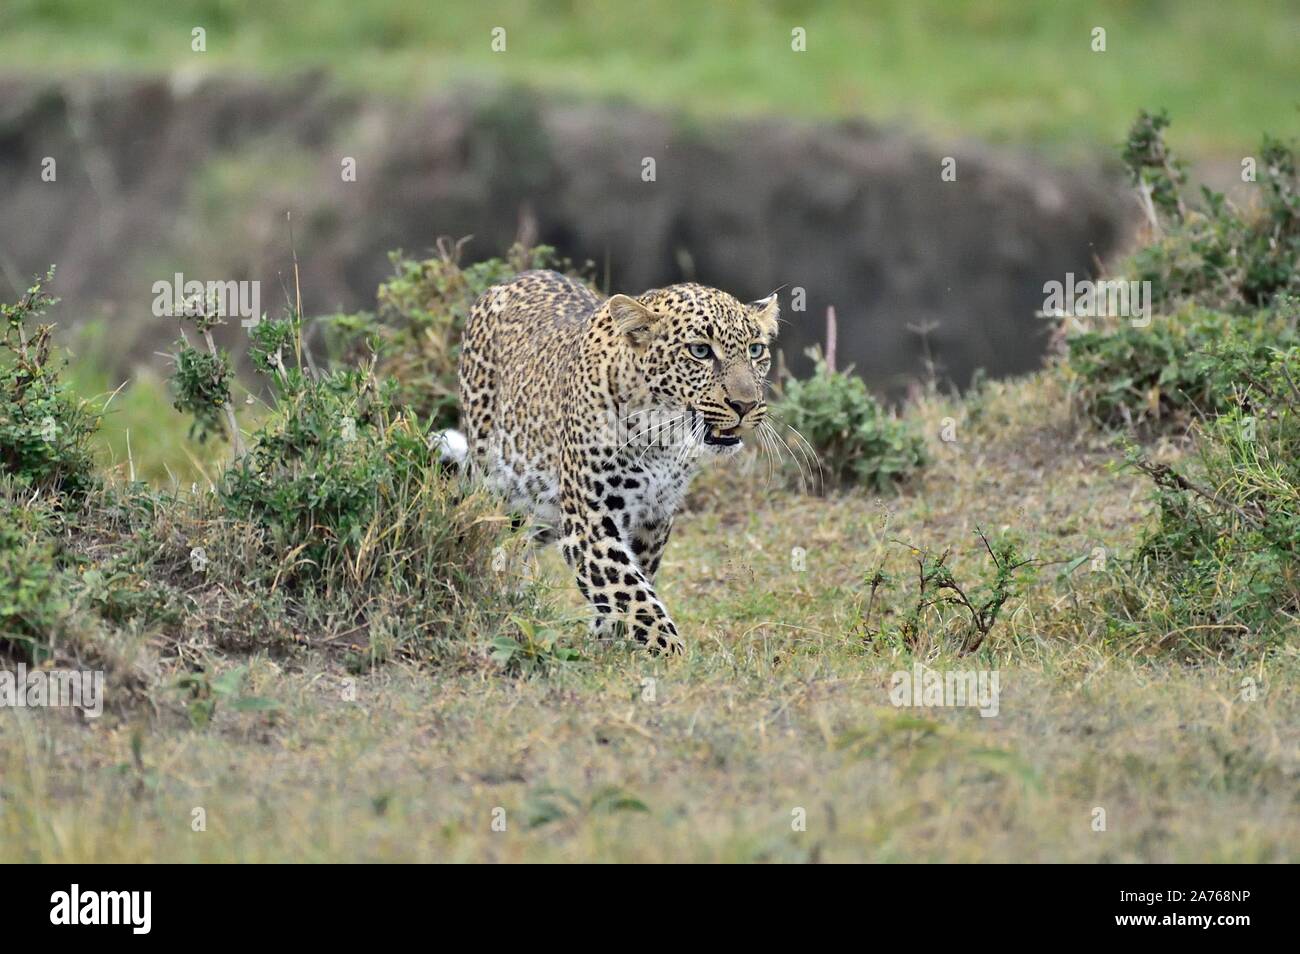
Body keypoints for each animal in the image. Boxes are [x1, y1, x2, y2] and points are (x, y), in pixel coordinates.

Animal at [448, 269, 780, 655]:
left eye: (755, 350)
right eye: (699, 351)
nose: (745, 404)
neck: (662, 438)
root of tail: (512, 279)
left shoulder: (653, 517)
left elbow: (631, 582)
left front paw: (611, 638)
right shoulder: (589, 520)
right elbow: (630, 592)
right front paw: (672, 653)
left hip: (542, 509)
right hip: (498, 483)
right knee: (486, 531)